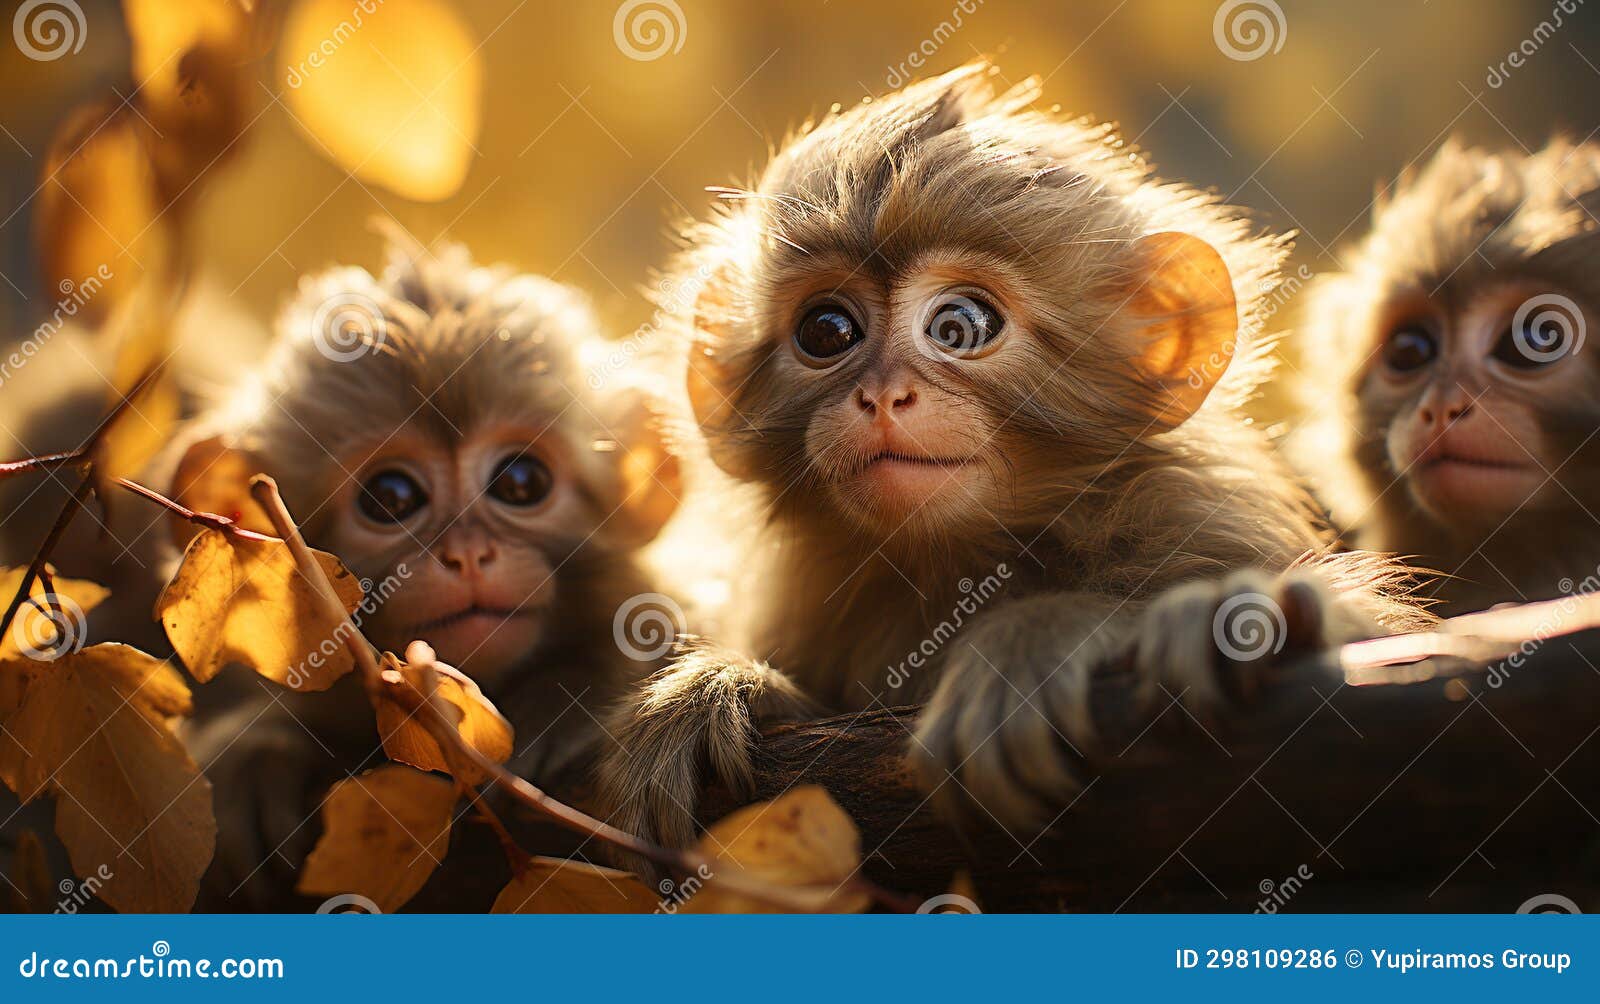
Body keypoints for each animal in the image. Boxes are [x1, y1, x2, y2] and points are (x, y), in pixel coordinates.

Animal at [596, 62, 1436, 872]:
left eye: (962, 326)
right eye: (827, 331)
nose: (883, 395)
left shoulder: (1192, 516)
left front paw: (1075, 631)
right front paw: (727, 687)